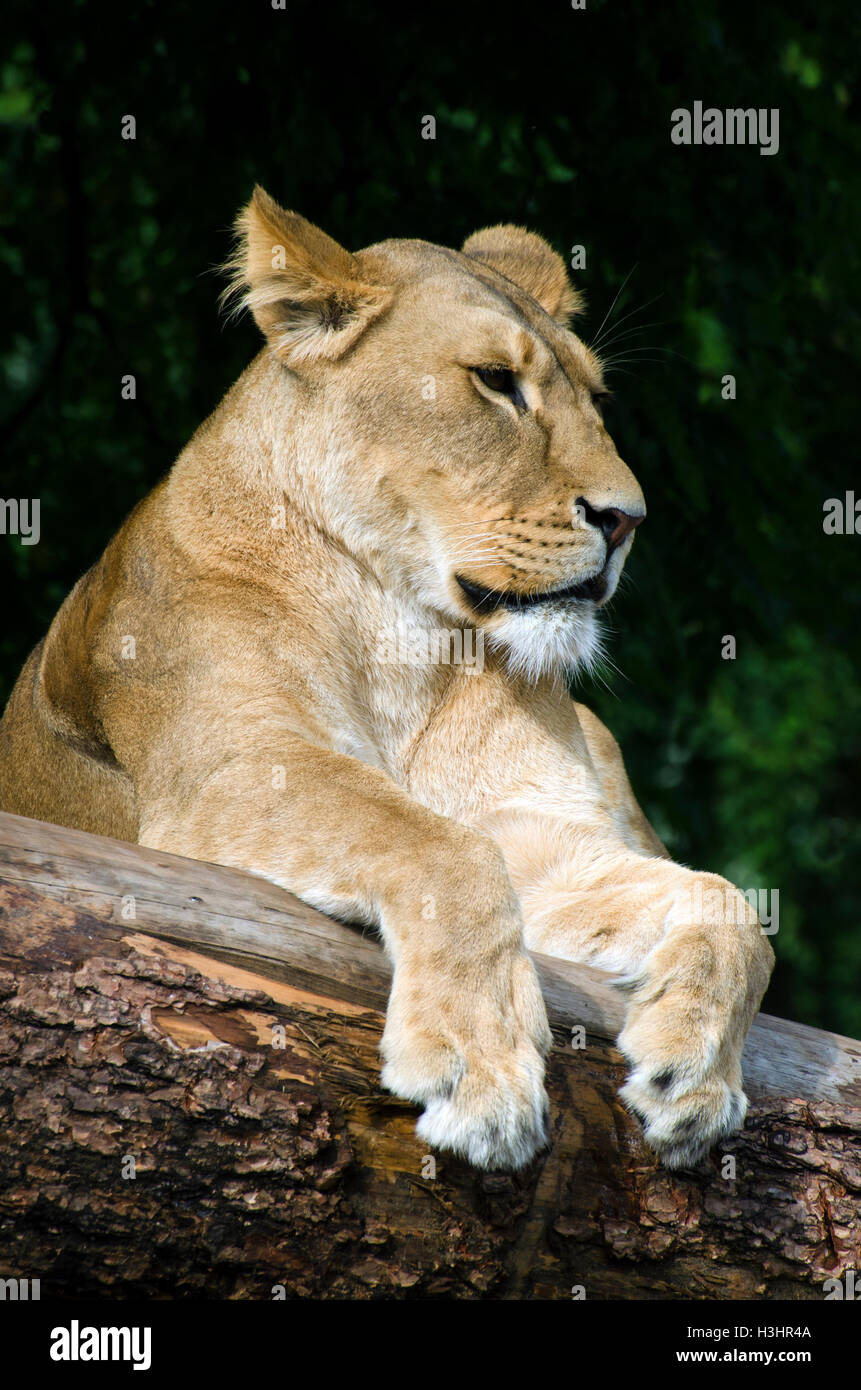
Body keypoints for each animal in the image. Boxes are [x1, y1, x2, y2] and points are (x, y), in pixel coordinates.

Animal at [0, 187, 774, 1170]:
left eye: (594, 397)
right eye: (495, 381)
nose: (627, 519)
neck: (407, 633)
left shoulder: (544, 841)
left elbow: (733, 907)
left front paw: (696, 1075)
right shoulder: (231, 773)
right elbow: (443, 848)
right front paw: (480, 1072)